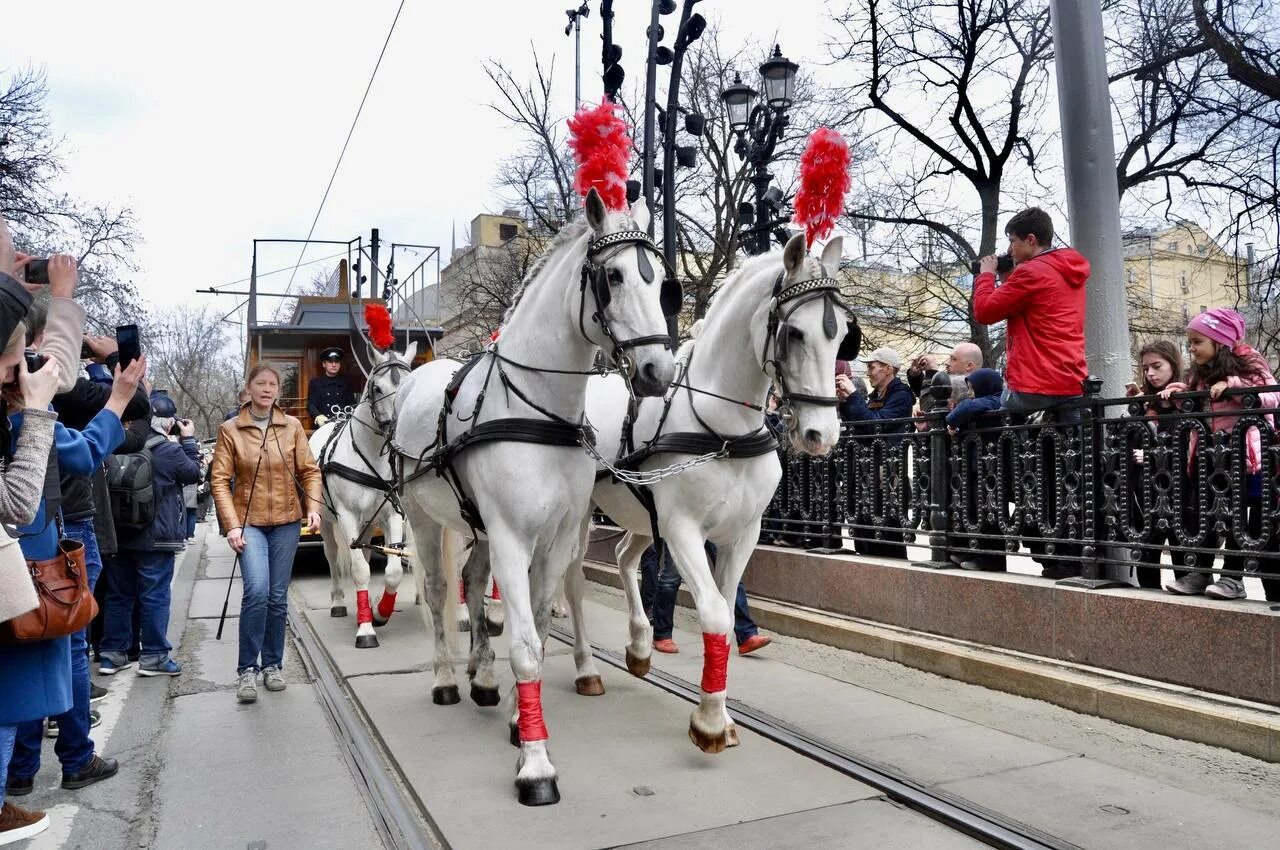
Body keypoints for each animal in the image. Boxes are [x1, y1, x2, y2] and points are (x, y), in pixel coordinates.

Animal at [314, 343, 419, 647]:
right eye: (377, 388)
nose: (398, 430)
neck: (370, 455)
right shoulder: (347, 516)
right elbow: (359, 569)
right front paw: (365, 630)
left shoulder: (391, 514)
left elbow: (393, 572)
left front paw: (379, 613)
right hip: (327, 520)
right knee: (332, 554)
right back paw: (339, 601)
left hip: (368, 523)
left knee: (365, 553)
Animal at [391, 189, 680, 809]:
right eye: (613, 276)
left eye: (662, 281)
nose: (658, 370)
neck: (538, 410)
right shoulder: (511, 537)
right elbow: (523, 643)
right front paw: (536, 765)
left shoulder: (554, 540)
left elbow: (542, 632)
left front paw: (520, 723)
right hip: (427, 520)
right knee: (439, 591)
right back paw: (447, 679)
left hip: (477, 528)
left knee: (473, 583)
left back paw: (481, 678)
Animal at [565, 232, 855, 752]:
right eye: (794, 333)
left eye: (843, 334)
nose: (822, 435)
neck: (724, 430)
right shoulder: (683, 531)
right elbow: (715, 614)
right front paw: (710, 722)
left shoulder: (742, 534)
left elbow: (727, 598)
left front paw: (721, 709)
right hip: (582, 516)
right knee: (574, 578)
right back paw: (585, 667)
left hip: (643, 518)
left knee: (623, 556)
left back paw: (640, 643)